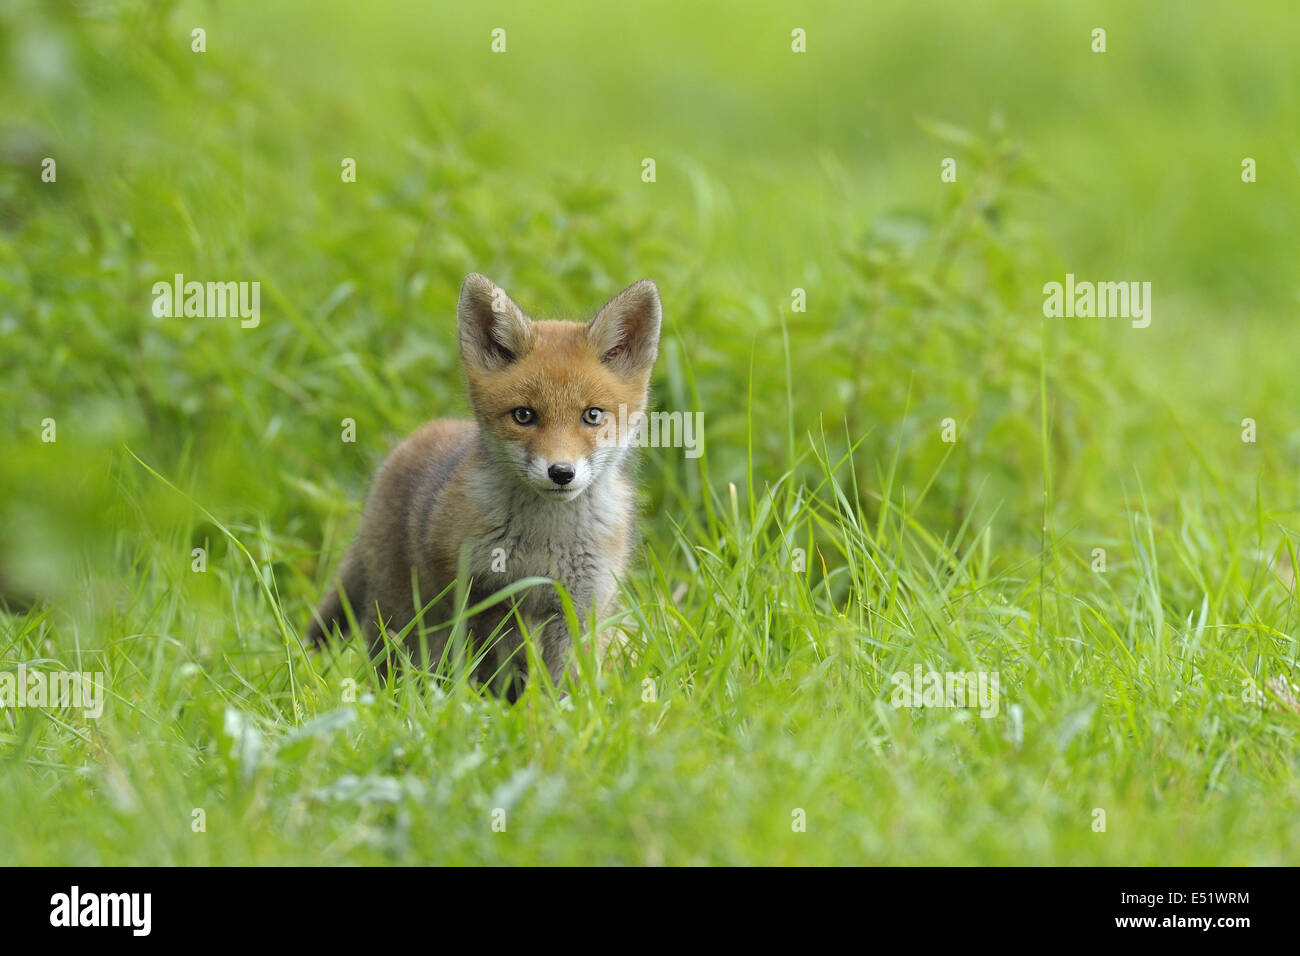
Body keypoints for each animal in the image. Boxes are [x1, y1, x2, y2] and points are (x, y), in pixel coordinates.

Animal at [306, 273, 662, 698]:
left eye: (592, 415)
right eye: (523, 415)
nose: (561, 472)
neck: (545, 541)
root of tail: (416, 438)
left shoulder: (579, 604)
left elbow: (564, 678)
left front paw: (557, 712)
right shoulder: (486, 596)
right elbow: (501, 667)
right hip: (404, 615)